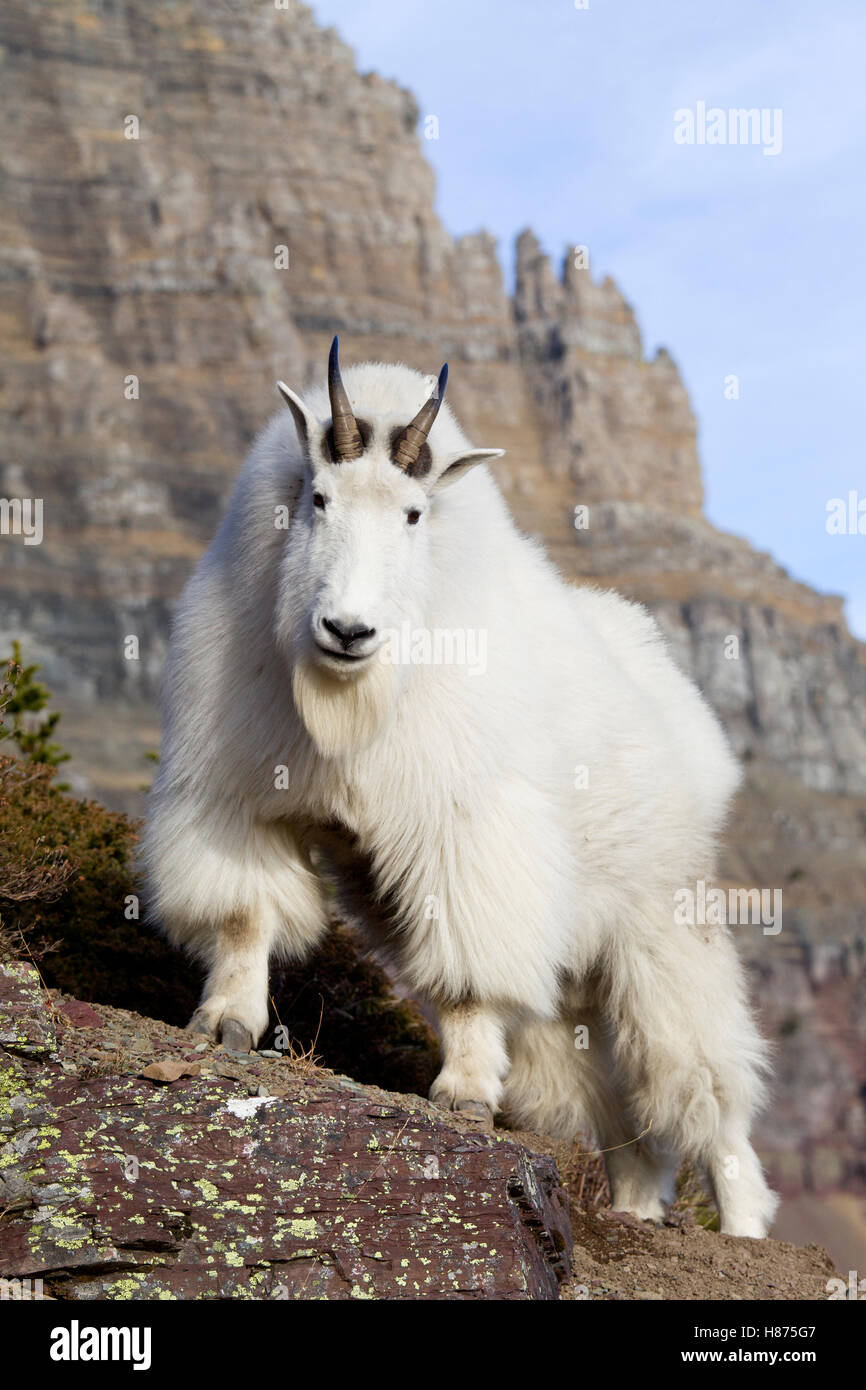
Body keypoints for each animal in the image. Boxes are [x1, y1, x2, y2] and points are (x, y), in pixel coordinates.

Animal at [143, 337, 778, 1237]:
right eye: (318, 498)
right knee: (621, 1108)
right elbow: (244, 920)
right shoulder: (241, 800)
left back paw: (743, 1222)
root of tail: (684, 713)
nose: (348, 631)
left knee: (702, 1081)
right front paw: (226, 1023)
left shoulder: (468, 836)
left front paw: (466, 1095)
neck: (353, 697)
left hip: (662, 921)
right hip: (579, 965)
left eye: (414, 514)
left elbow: (473, 981)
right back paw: (633, 1209)